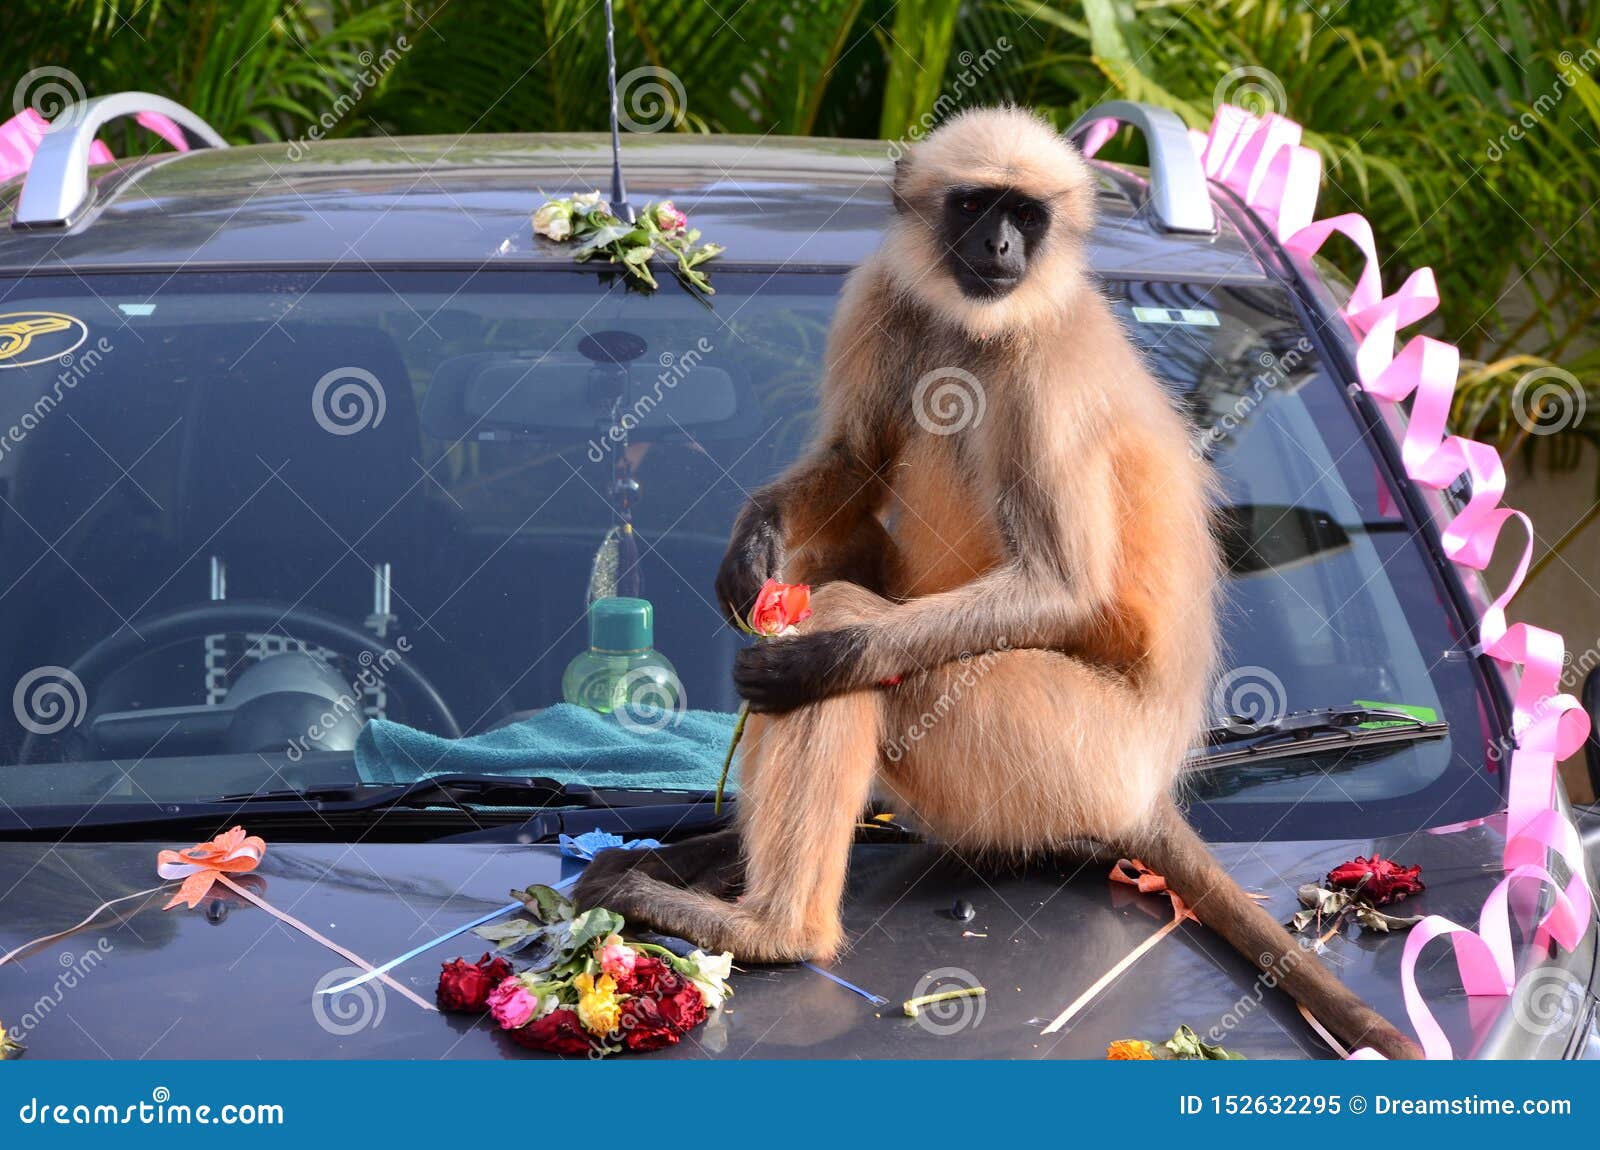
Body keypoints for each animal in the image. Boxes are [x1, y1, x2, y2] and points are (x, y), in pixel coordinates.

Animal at [575, 106, 1421, 1060]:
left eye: (1026, 214)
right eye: (976, 206)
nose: (1002, 244)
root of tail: (1150, 785)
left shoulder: (1045, 371)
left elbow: (1057, 586)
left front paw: (811, 661)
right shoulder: (884, 293)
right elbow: (855, 460)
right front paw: (749, 542)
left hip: (1063, 750)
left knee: (865, 620)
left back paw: (771, 930)